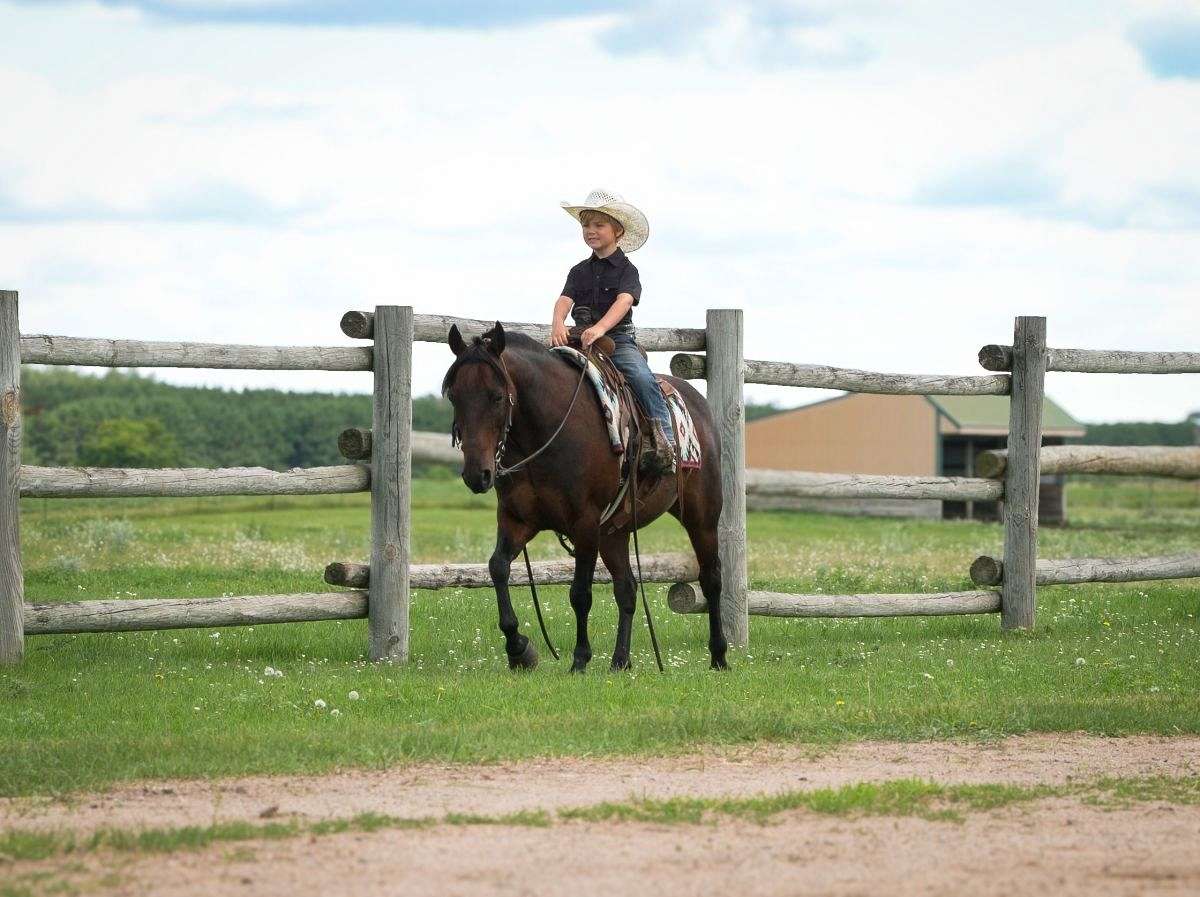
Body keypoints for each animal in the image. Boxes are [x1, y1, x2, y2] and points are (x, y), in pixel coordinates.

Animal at [441, 322, 729, 673]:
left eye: (496, 397)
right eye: (454, 396)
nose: (476, 474)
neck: (547, 434)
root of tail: (696, 402)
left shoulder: (585, 523)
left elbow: (580, 593)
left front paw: (580, 658)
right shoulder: (517, 519)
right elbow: (497, 568)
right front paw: (519, 649)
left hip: (702, 518)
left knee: (711, 579)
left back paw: (719, 655)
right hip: (614, 533)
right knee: (627, 588)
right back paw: (620, 660)